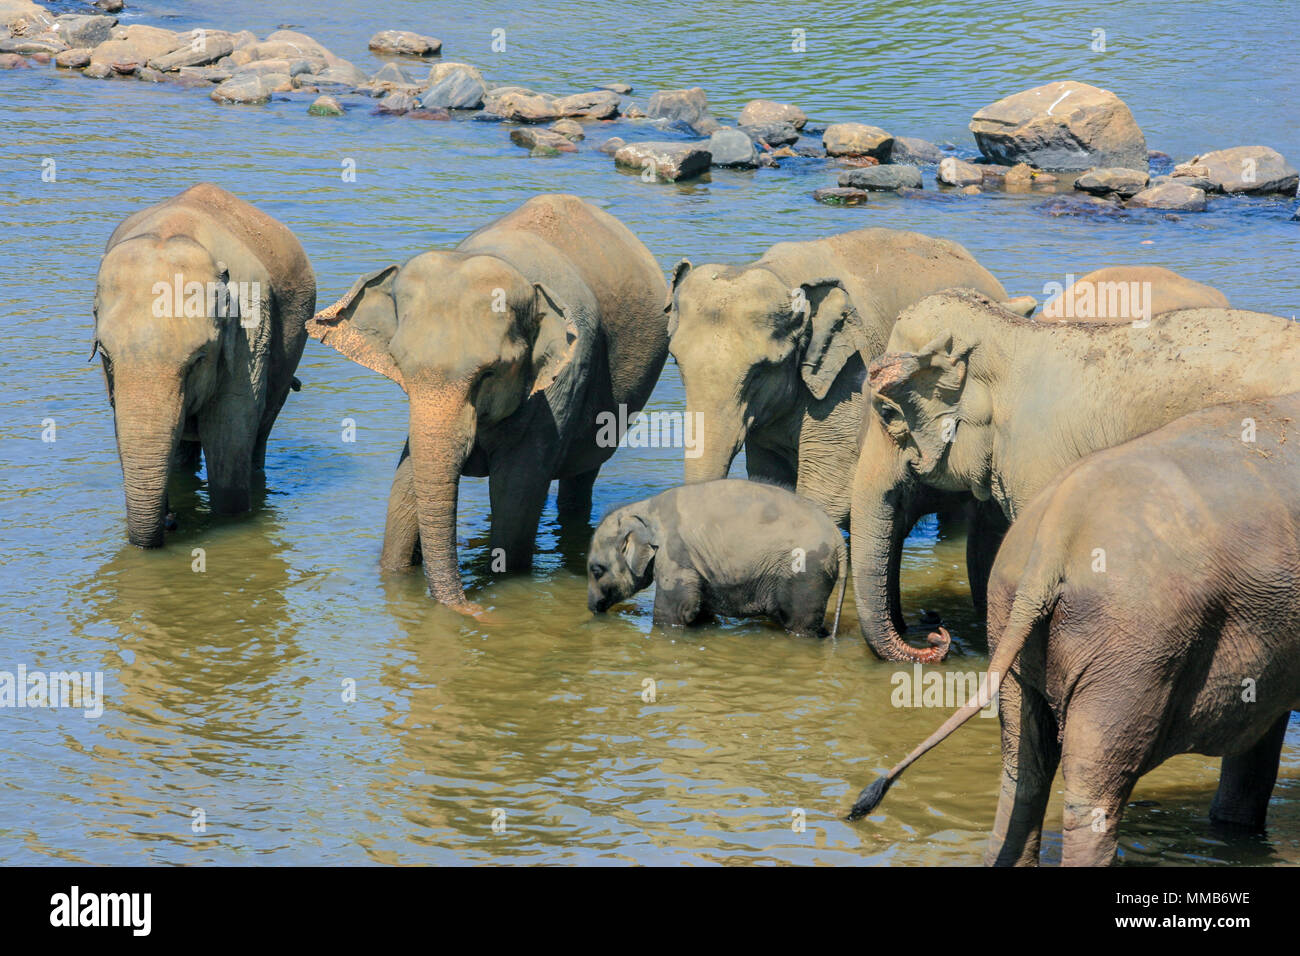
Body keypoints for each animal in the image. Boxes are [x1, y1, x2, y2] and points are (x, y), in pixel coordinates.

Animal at [93, 182, 314, 547]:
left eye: (197, 361)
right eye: (106, 357)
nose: (171, 522)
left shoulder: (250, 326)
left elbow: (229, 429)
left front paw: (230, 520)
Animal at [307, 194, 668, 613]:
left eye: (490, 373)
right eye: (399, 364)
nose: (473, 611)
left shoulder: (561, 384)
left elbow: (516, 496)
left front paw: (502, 581)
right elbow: (406, 482)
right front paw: (395, 574)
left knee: (582, 474)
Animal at [586, 479, 848, 638]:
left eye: (597, 570)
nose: (592, 608)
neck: (643, 509)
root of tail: (838, 538)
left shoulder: (675, 555)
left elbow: (674, 611)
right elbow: (698, 610)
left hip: (805, 573)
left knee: (799, 624)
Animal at [665, 228, 1029, 527]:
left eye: (760, 371)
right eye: (676, 362)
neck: (780, 274)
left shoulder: (849, 377)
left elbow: (828, 492)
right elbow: (769, 476)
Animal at [848, 392, 1300, 866]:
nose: (934, 631)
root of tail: (1053, 540)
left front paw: (1234, 829)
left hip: (1017, 624)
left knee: (1024, 769)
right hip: (1132, 650)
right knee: (1094, 788)